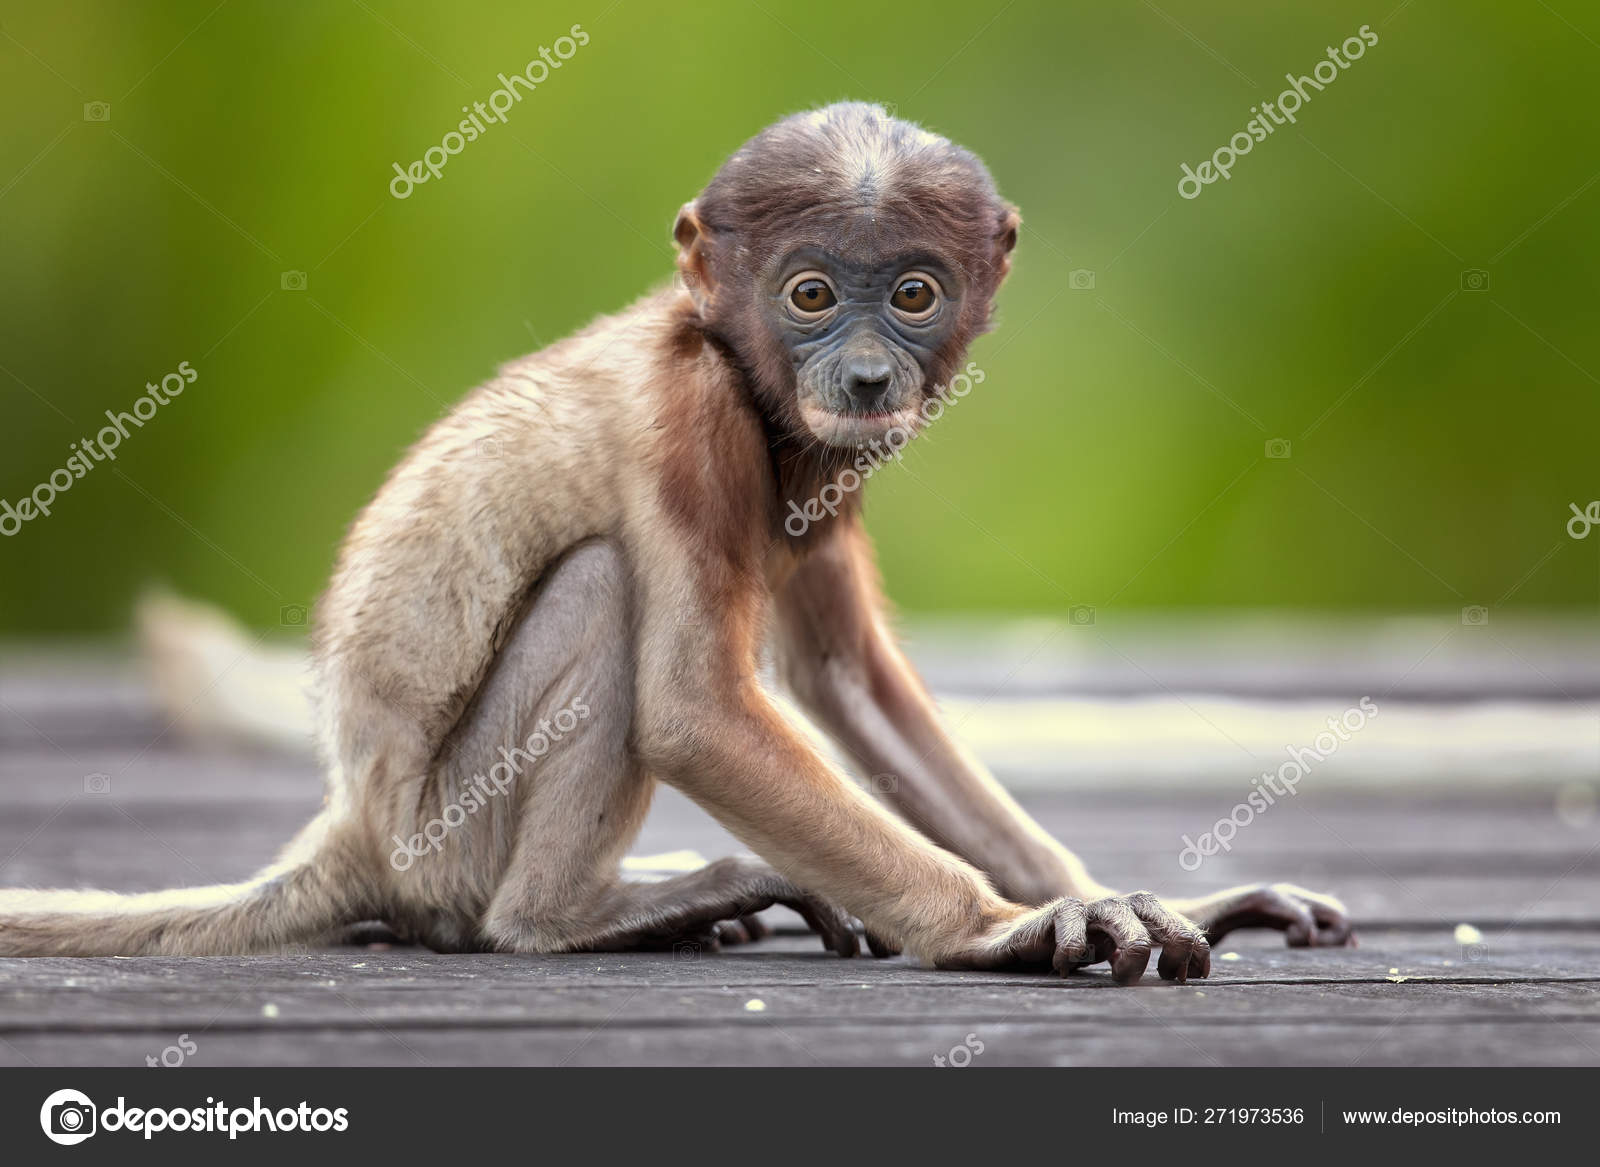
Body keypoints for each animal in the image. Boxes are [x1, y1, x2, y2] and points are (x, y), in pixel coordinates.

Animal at [0, 103, 1351, 981]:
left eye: (913, 293)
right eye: (811, 294)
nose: (867, 377)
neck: (735, 364)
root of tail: (357, 825)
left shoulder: (827, 464)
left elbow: (849, 685)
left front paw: (1132, 896)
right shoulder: (686, 421)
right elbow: (696, 710)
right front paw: (1000, 928)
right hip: (447, 836)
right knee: (600, 593)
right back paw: (574, 917)